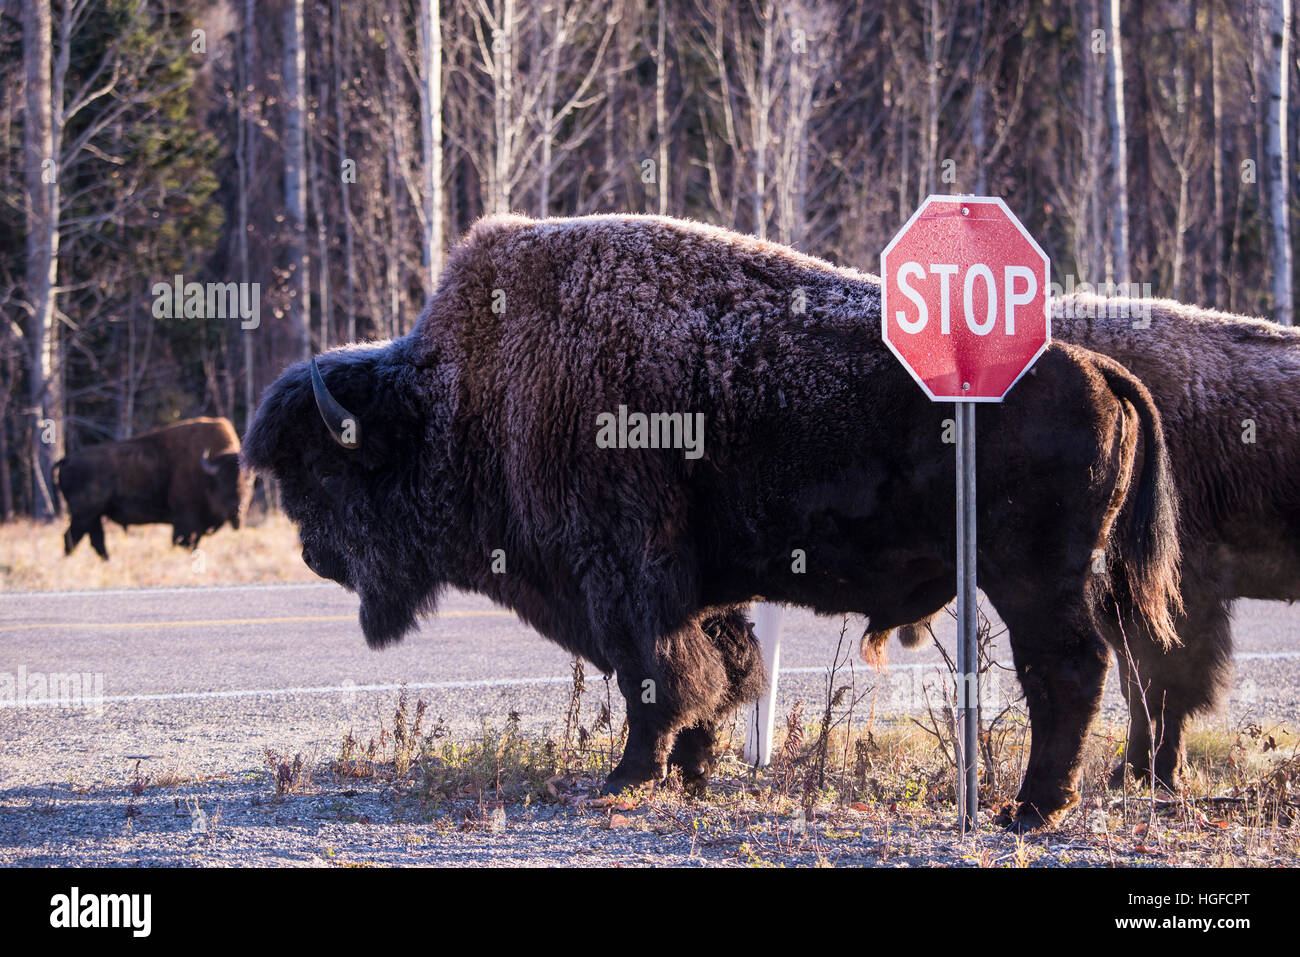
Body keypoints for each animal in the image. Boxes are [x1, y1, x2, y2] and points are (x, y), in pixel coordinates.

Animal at [56, 416, 248, 559]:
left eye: (245, 482)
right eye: (220, 481)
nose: (237, 509)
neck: (204, 473)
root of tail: (67, 459)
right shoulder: (186, 519)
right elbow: (183, 542)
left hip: (93, 516)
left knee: (95, 541)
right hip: (83, 515)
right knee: (72, 538)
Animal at [244, 214, 1181, 829]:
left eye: (324, 470)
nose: (313, 553)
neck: (469, 393)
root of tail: (1100, 369)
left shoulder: (620, 580)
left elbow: (655, 675)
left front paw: (627, 778)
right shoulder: (693, 589)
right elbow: (720, 670)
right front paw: (692, 772)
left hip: (1032, 581)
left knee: (1068, 670)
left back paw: (1031, 809)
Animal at [870, 296, 1300, 791]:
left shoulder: (1174, 596)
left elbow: (1165, 684)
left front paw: (1155, 774)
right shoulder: (1121, 603)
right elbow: (1139, 684)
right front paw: (1133, 772)